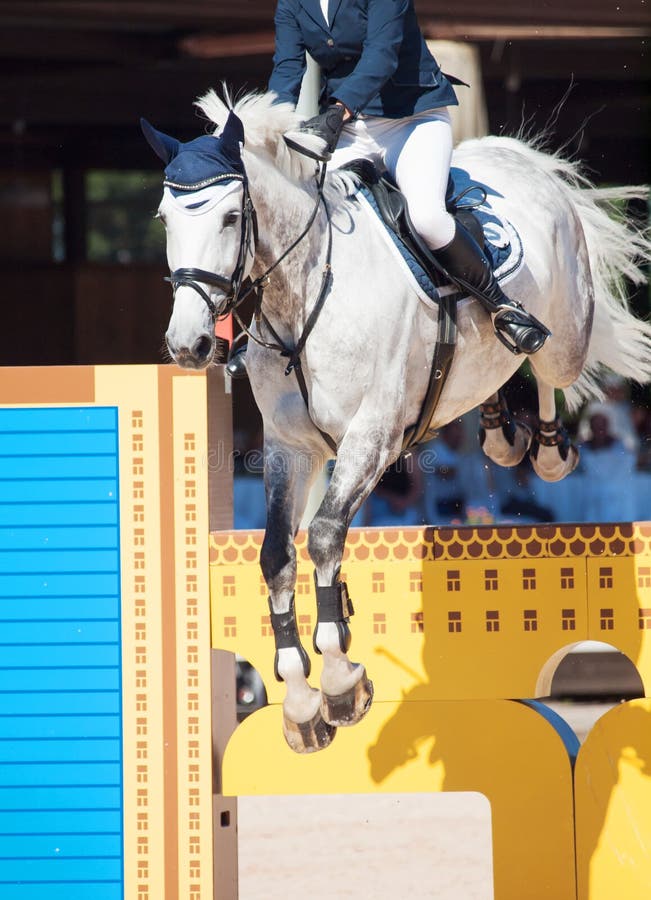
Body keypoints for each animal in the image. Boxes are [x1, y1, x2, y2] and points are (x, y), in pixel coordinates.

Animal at [143, 89, 651, 754]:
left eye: (230, 218)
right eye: (165, 219)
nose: (189, 345)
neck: (305, 290)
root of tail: (523, 160)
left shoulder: (372, 436)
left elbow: (324, 536)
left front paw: (339, 684)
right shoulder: (290, 448)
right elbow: (277, 555)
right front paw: (301, 706)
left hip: (565, 335)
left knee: (544, 363)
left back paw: (543, 445)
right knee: (492, 378)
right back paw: (499, 434)